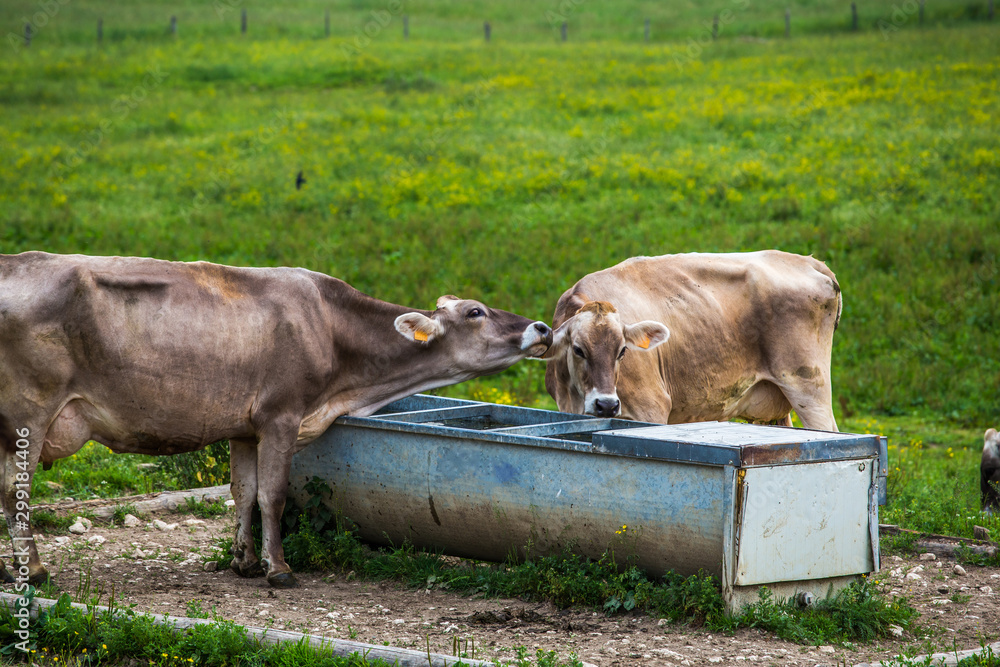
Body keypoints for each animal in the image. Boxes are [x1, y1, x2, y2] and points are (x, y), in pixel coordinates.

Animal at [0, 252, 552, 588]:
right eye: (476, 312)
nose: (542, 327)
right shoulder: (281, 415)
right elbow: (273, 494)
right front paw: (279, 568)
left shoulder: (244, 427)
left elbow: (243, 492)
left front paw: (243, 561)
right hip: (32, 411)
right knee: (15, 490)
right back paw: (33, 569)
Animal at [543, 251, 841, 431]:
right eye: (578, 350)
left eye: (622, 351)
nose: (606, 405)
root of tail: (807, 261)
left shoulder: (651, 407)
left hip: (808, 386)